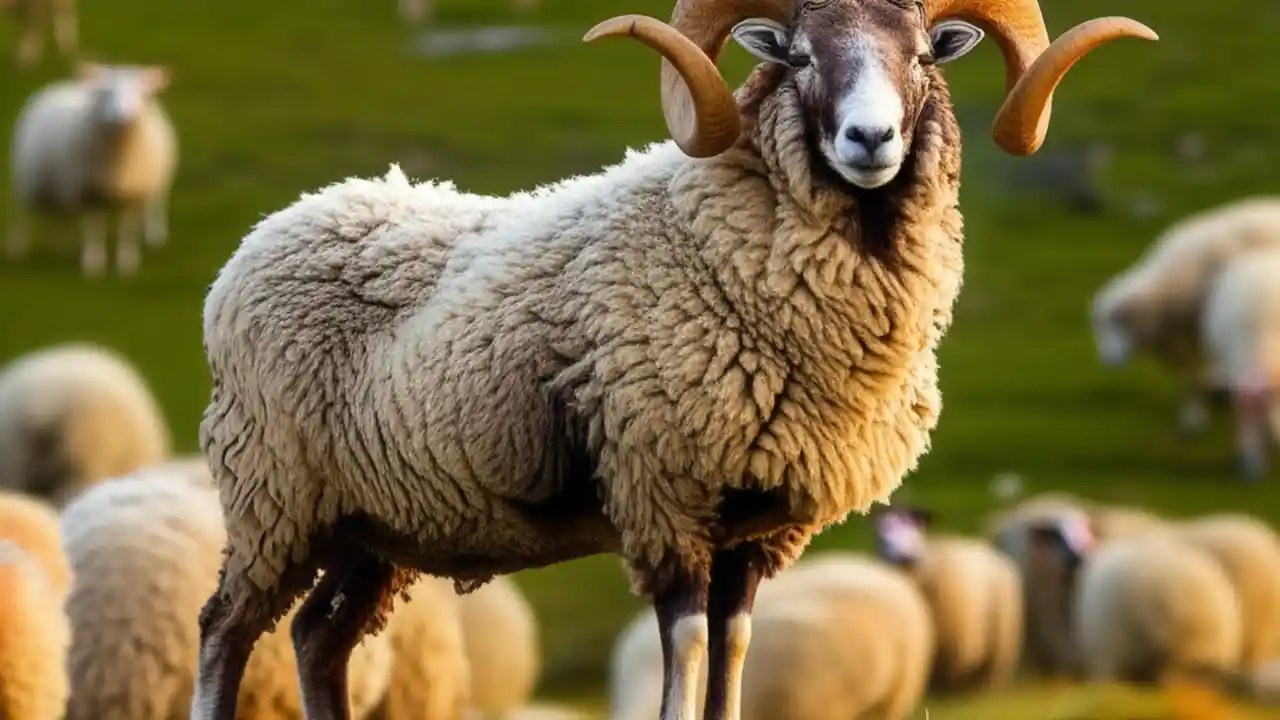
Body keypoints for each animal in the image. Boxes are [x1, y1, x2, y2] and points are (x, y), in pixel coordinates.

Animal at [8, 63, 178, 277]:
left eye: (143, 92)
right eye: (107, 92)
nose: (126, 115)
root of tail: (63, 83)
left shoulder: (133, 194)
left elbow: (127, 231)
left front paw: (126, 263)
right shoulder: (89, 193)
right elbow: (93, 229)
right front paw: (93, 264)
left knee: (60, 219)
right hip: (30, 181)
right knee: (24, 216)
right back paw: (21, 249)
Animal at [1091, 197, 1280, 435]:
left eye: (1119, 321)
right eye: (1099, 327)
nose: (1106, 361)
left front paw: (1197, 413)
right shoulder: (1182, 341)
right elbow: (1187, 377)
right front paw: (1191, 413)